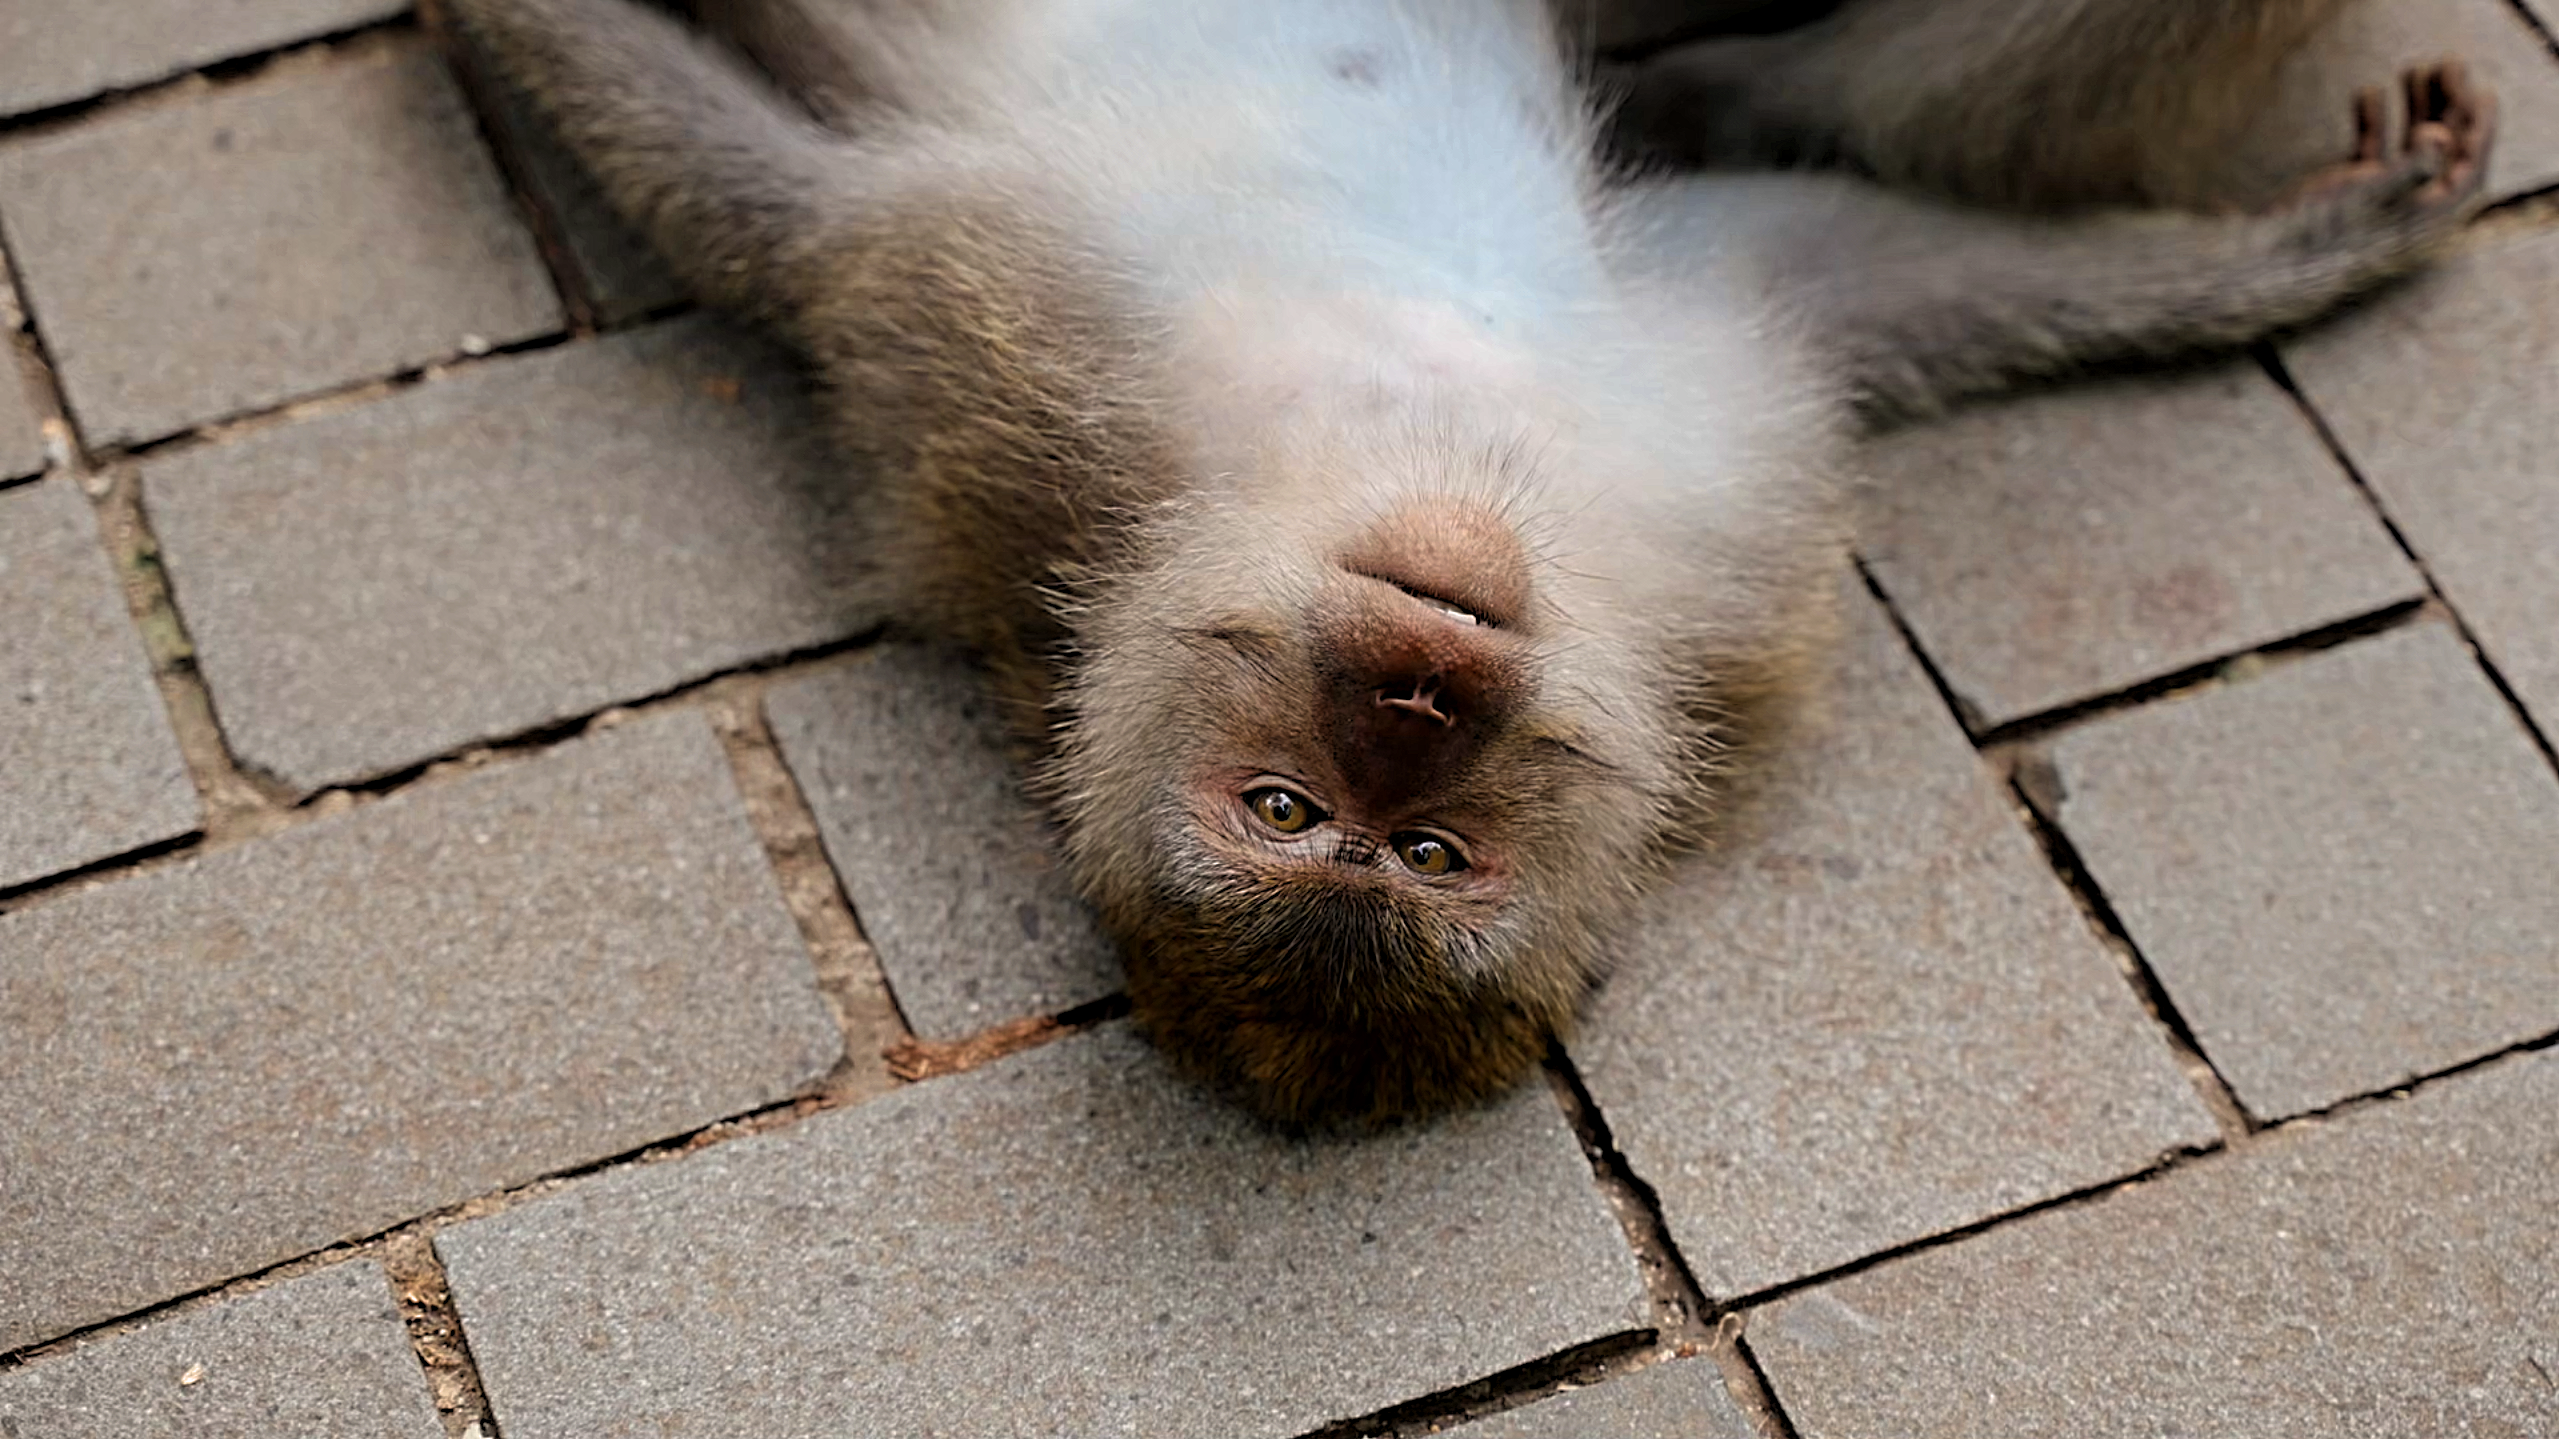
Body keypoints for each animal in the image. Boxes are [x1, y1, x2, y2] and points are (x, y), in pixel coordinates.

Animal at [438, 0, 2492, 1124]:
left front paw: (2323, 233)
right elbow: (775, 215)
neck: (1415, 461)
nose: (1421, 683)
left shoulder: (1724, 525)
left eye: (1426, 853)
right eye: (1284, 811)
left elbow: (1854, 272)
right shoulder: (986, 359)